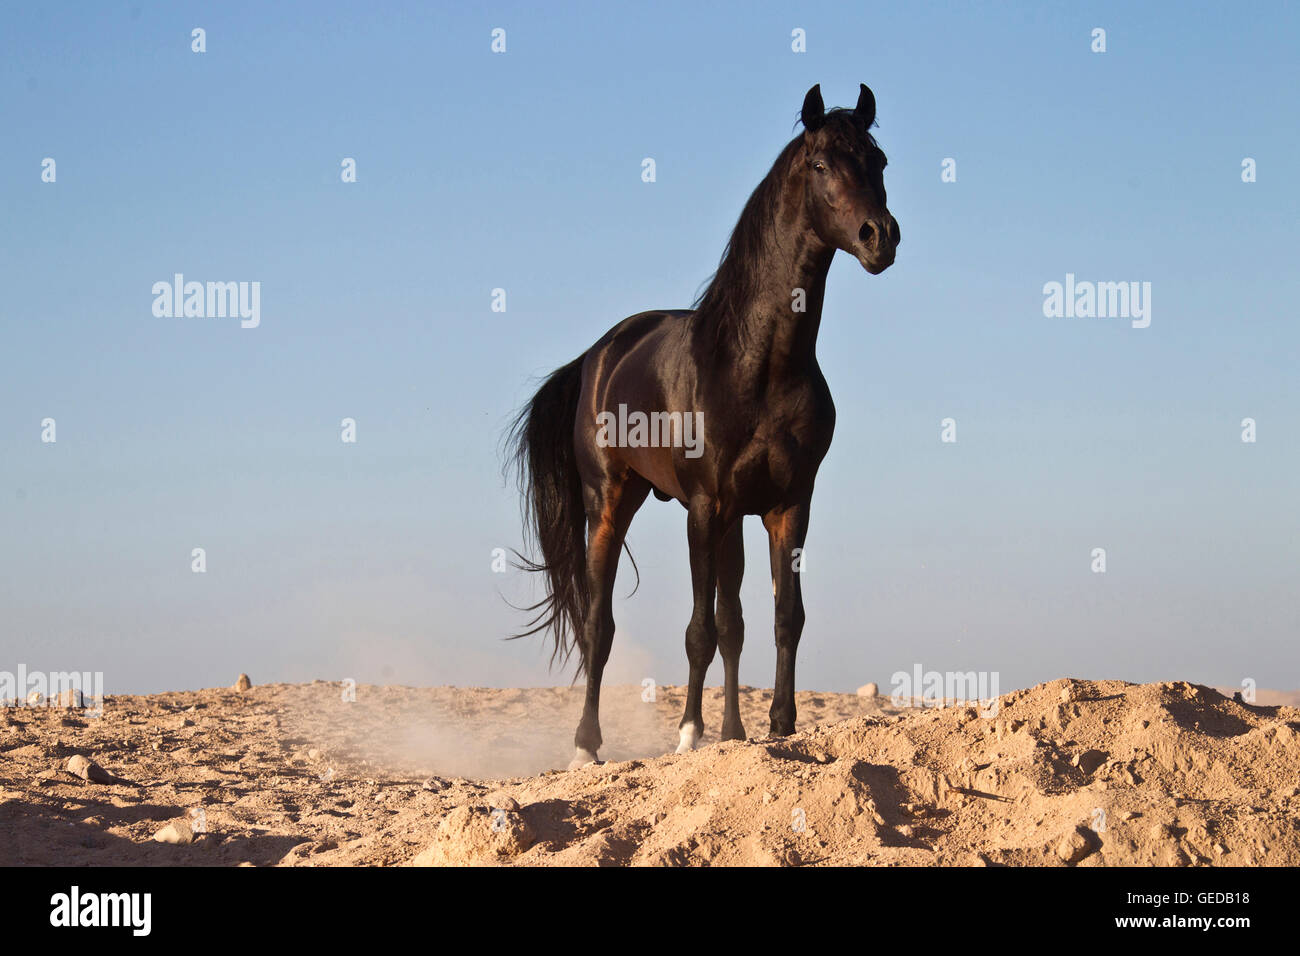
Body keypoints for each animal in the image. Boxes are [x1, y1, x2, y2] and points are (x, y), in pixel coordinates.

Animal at [508, 84, 900, 769]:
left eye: (878, 161)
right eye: (822, 163)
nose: (881, 236)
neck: (758, 362)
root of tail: (596, 357)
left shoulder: (787, 507)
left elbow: (781, 618)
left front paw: (778, 727)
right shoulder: (705, 506)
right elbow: (699, 628)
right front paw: (690, 733)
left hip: (728, 521)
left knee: (735, 622)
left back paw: (734, 731)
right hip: (611, 503)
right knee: (600, 625)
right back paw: (586, 746)